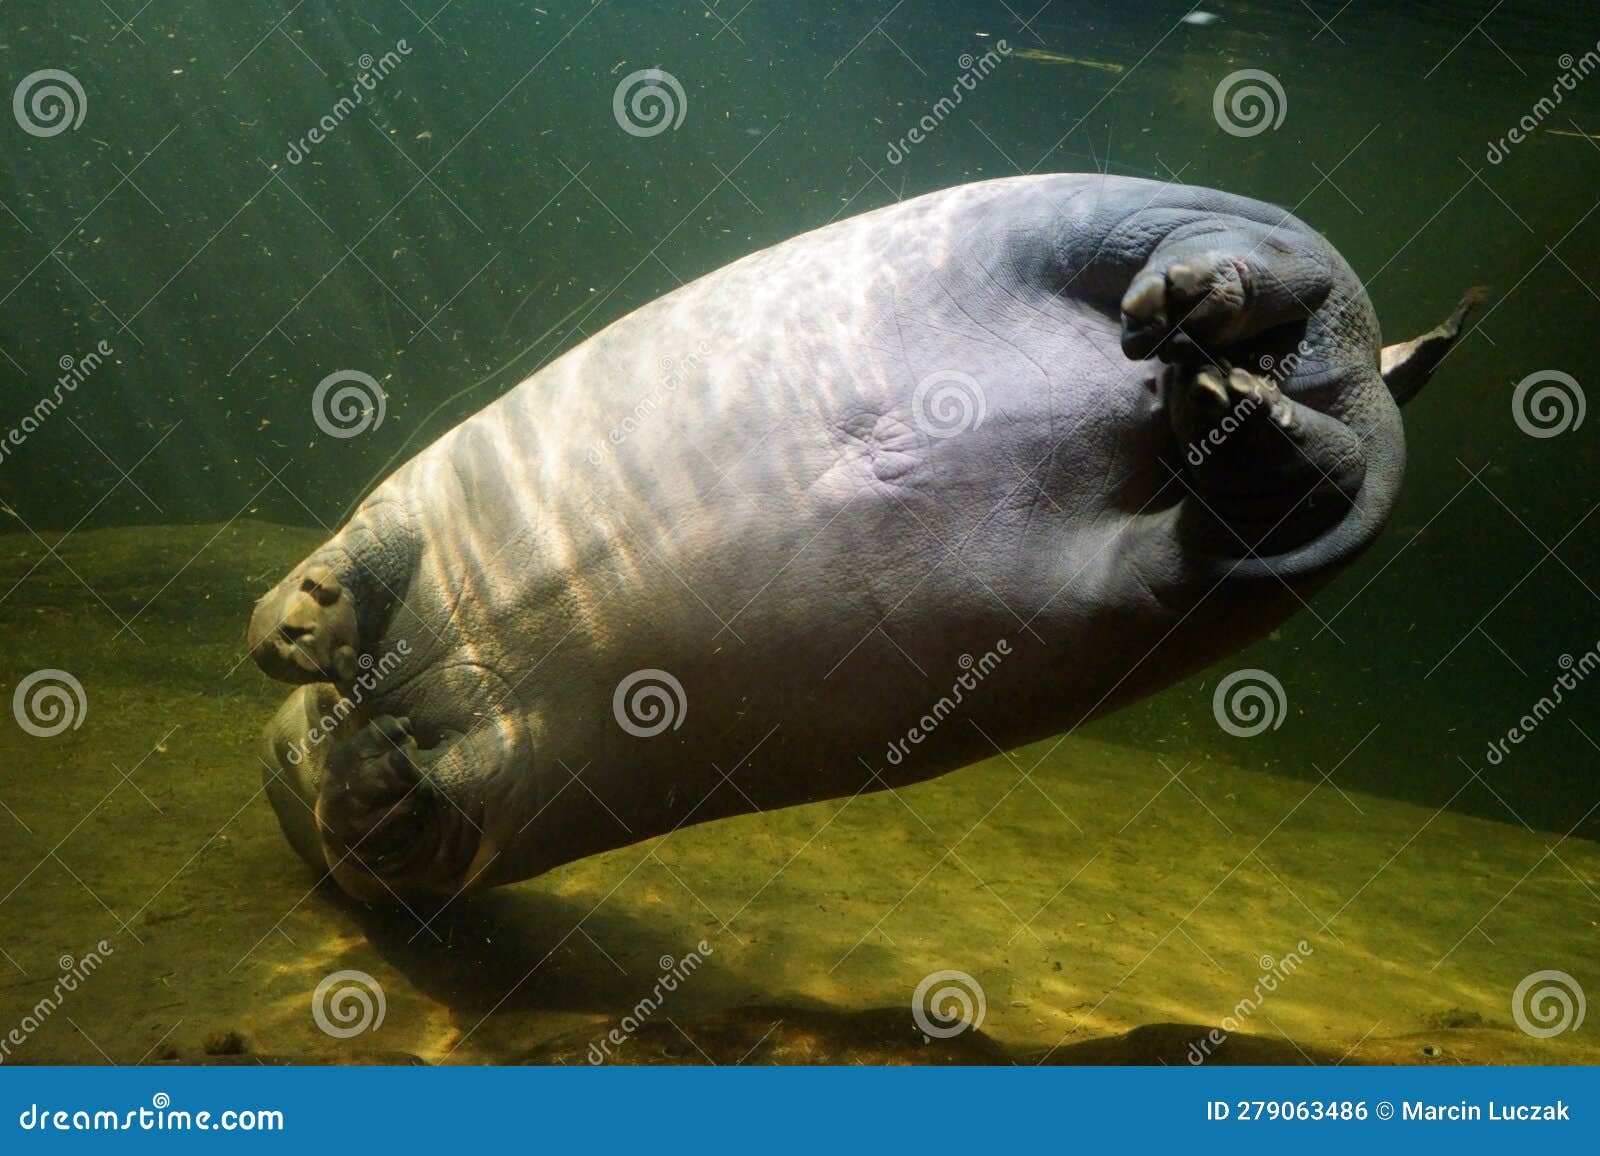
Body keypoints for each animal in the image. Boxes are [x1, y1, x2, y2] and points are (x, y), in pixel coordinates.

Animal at [247, 173, 1476, 902]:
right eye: (280, 775)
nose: (302, 764)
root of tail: (1355, 359)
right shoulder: (497, 790)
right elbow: (426, 806)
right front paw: (368, 763)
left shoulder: (420, 507)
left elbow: (355, 560)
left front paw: (292, 635)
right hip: (1153, 564)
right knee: (1293, 459)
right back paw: (1229, 398)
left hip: (1098, 222)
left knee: (1240, 262)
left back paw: (1185, 322)